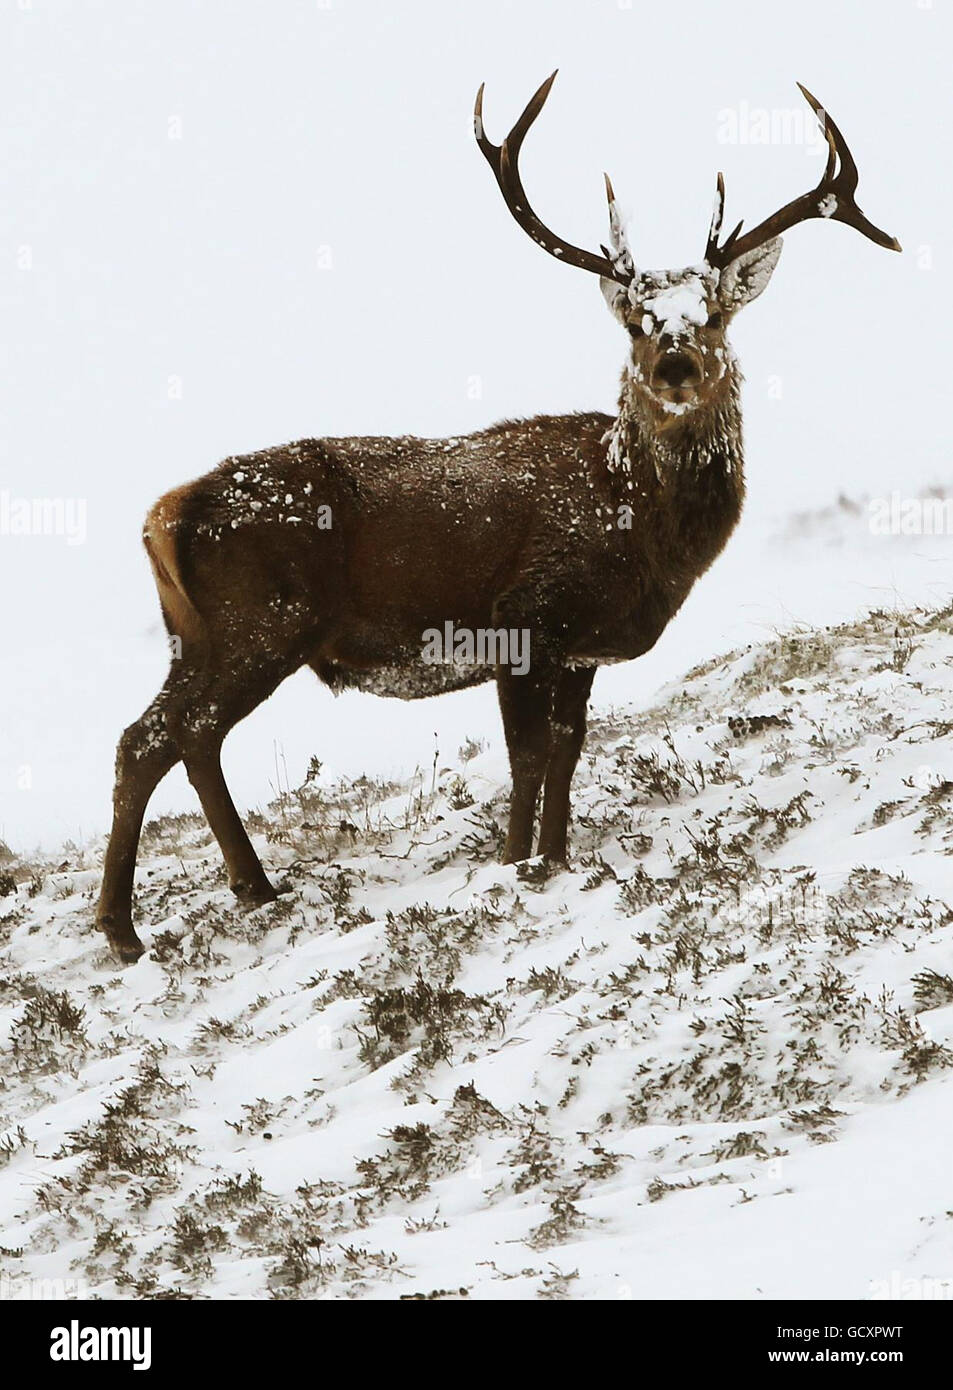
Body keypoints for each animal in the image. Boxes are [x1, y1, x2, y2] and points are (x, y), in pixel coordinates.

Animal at [95, 75, 899, 964]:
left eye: (714, 315)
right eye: (636, 322)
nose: (675, 364)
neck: (641, 532)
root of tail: (163, 514)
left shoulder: (578, 646)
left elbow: (568, 750)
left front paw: (557, 855)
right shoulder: (523, 615)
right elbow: (526, 755)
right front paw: (517, 867)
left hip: (198, 633)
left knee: (163, 737)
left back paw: (185, 911)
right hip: (260, 619)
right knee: (173, 732)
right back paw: (189, 908)